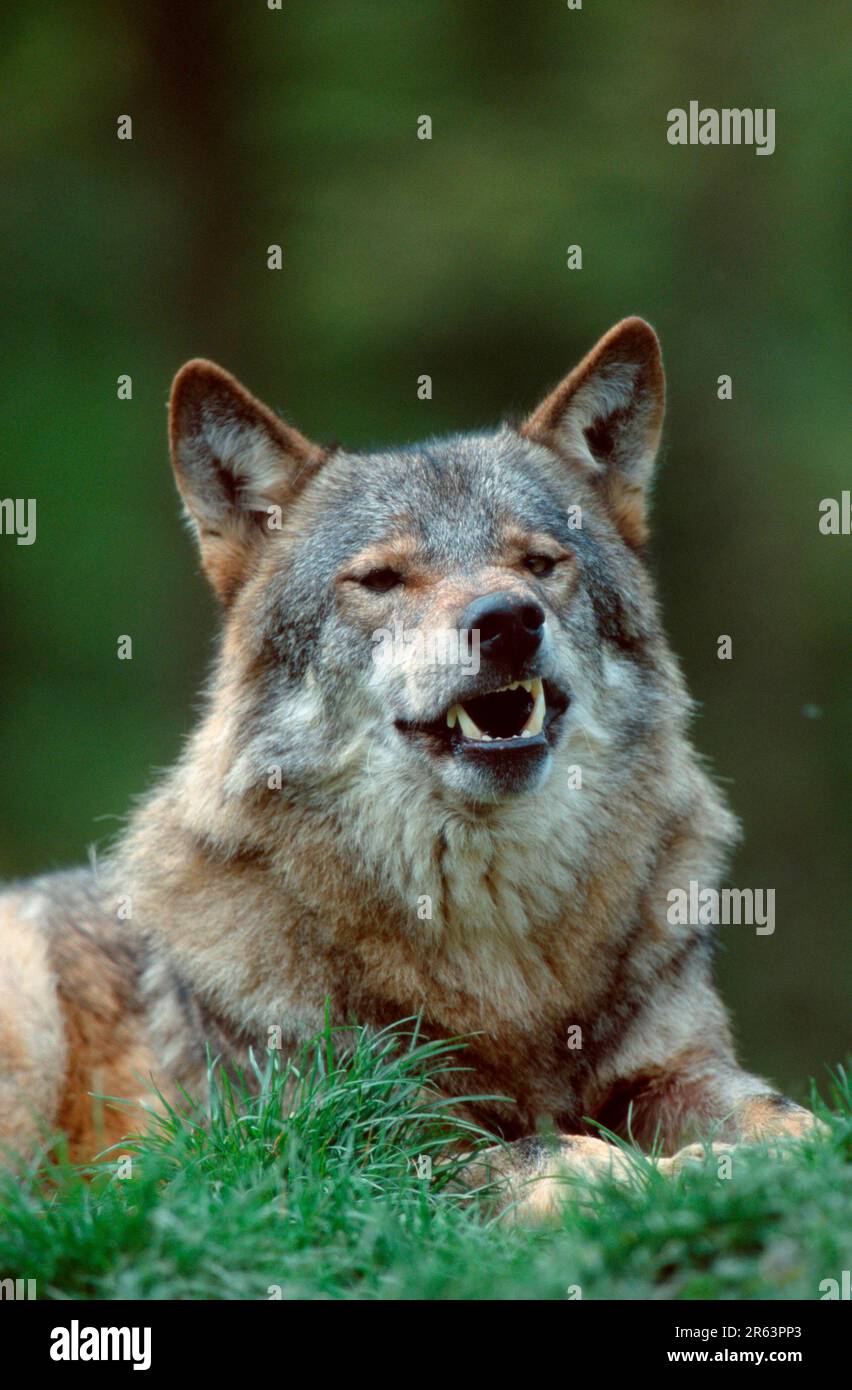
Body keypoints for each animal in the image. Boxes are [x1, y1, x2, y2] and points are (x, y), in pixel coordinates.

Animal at [0, 318, 820, 1215]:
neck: (499, 952)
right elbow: (562, 1153)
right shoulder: (359, 1139)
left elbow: (787, 1117)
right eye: (382, 578)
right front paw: (668, 1178)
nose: (508, 621)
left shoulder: (678, 1070)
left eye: (539, 564)